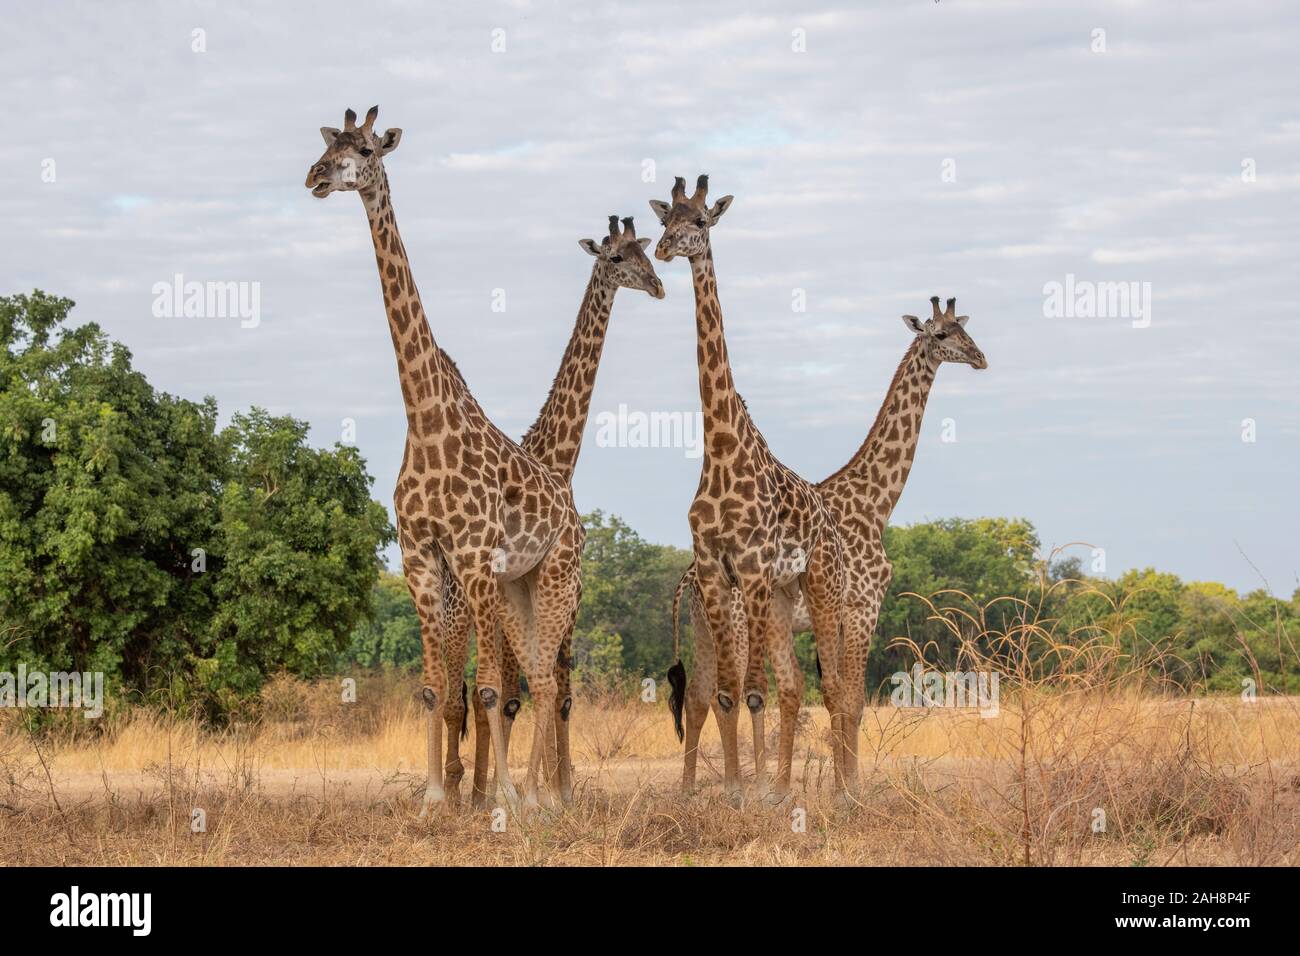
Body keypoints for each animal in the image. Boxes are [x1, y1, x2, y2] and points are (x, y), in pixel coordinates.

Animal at [305, 106, 584, 812]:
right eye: (329, 145)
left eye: (365, 149)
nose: (315, 175)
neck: (424, 418)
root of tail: (572, 512)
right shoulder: (420, 556)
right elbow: (435, 686)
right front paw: (434, 796)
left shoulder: (474, 556)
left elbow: (486, 687)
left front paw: (499, 799)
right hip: (518, 585)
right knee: (538, 677)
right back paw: (535, 794)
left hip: (552, 576)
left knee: (542, 681)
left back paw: (536, 798)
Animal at [452, 214, 664, 807]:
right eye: (615, 258)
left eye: (643, 252)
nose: (657, 284)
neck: (559, 459)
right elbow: (530, 693)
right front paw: (541, 792)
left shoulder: (565, 601)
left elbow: (556, 693)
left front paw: (557, 790)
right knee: (472, 693)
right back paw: (471, 792)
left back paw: (475, 791)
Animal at [651, 175, 851, 801]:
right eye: (666, 219)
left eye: (700, 222)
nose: (664, 249)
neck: (719, 449)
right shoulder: (717, 571)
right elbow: (725, 693)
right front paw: (738, 789)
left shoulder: (754, 569)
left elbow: (755, 691)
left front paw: (752, 792)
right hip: (785, 599)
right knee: (794, 685)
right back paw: (786, 785)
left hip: (819, 587)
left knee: (833, 685)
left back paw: (840, 789)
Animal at [669, 295, 988, 793]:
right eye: (940, 334)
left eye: (964, 330)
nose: (979, 357)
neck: (877, 503)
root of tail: (688, 578)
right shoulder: (863, 606)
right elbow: (852, 699)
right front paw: (851, 787)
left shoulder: (839, 613)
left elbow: (837, 696)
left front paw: (840, 782)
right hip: (737, 625)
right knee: (728, 693)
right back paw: (741, 784)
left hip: (704, 625)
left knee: (698, 697)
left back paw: (690, 789)